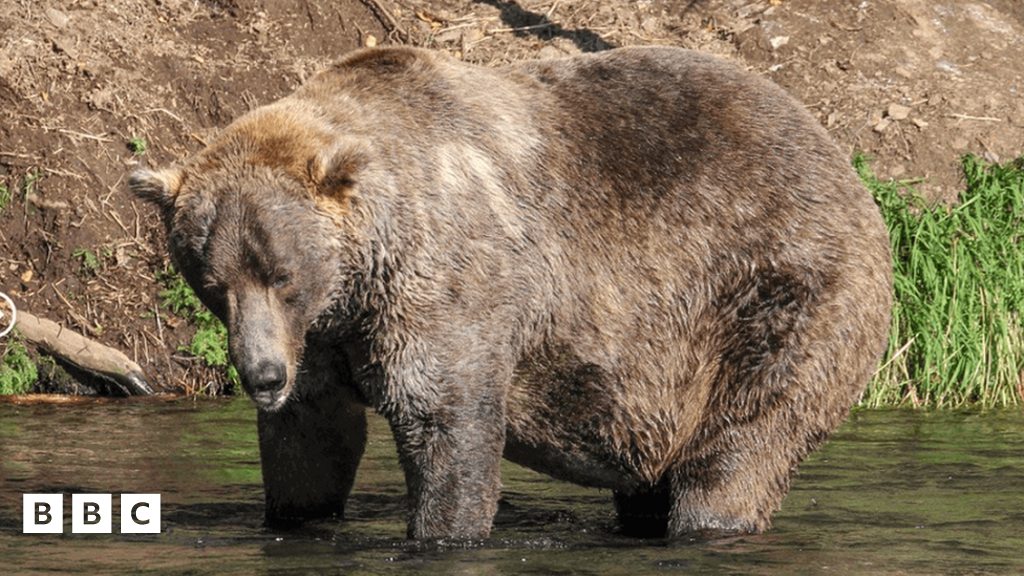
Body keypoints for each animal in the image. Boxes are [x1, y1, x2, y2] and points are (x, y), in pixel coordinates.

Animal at [131, 46, 892, 540]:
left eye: (282, 275)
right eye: (214, 282)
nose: (262, 375)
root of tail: (843, 161)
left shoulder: (447, 285)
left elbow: (445, 419)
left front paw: (443, 531)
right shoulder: (323, 337)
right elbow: (312, 440)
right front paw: (297, 514)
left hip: (775, 291)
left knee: (742, 441)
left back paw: (711, 520)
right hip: (664, 379)